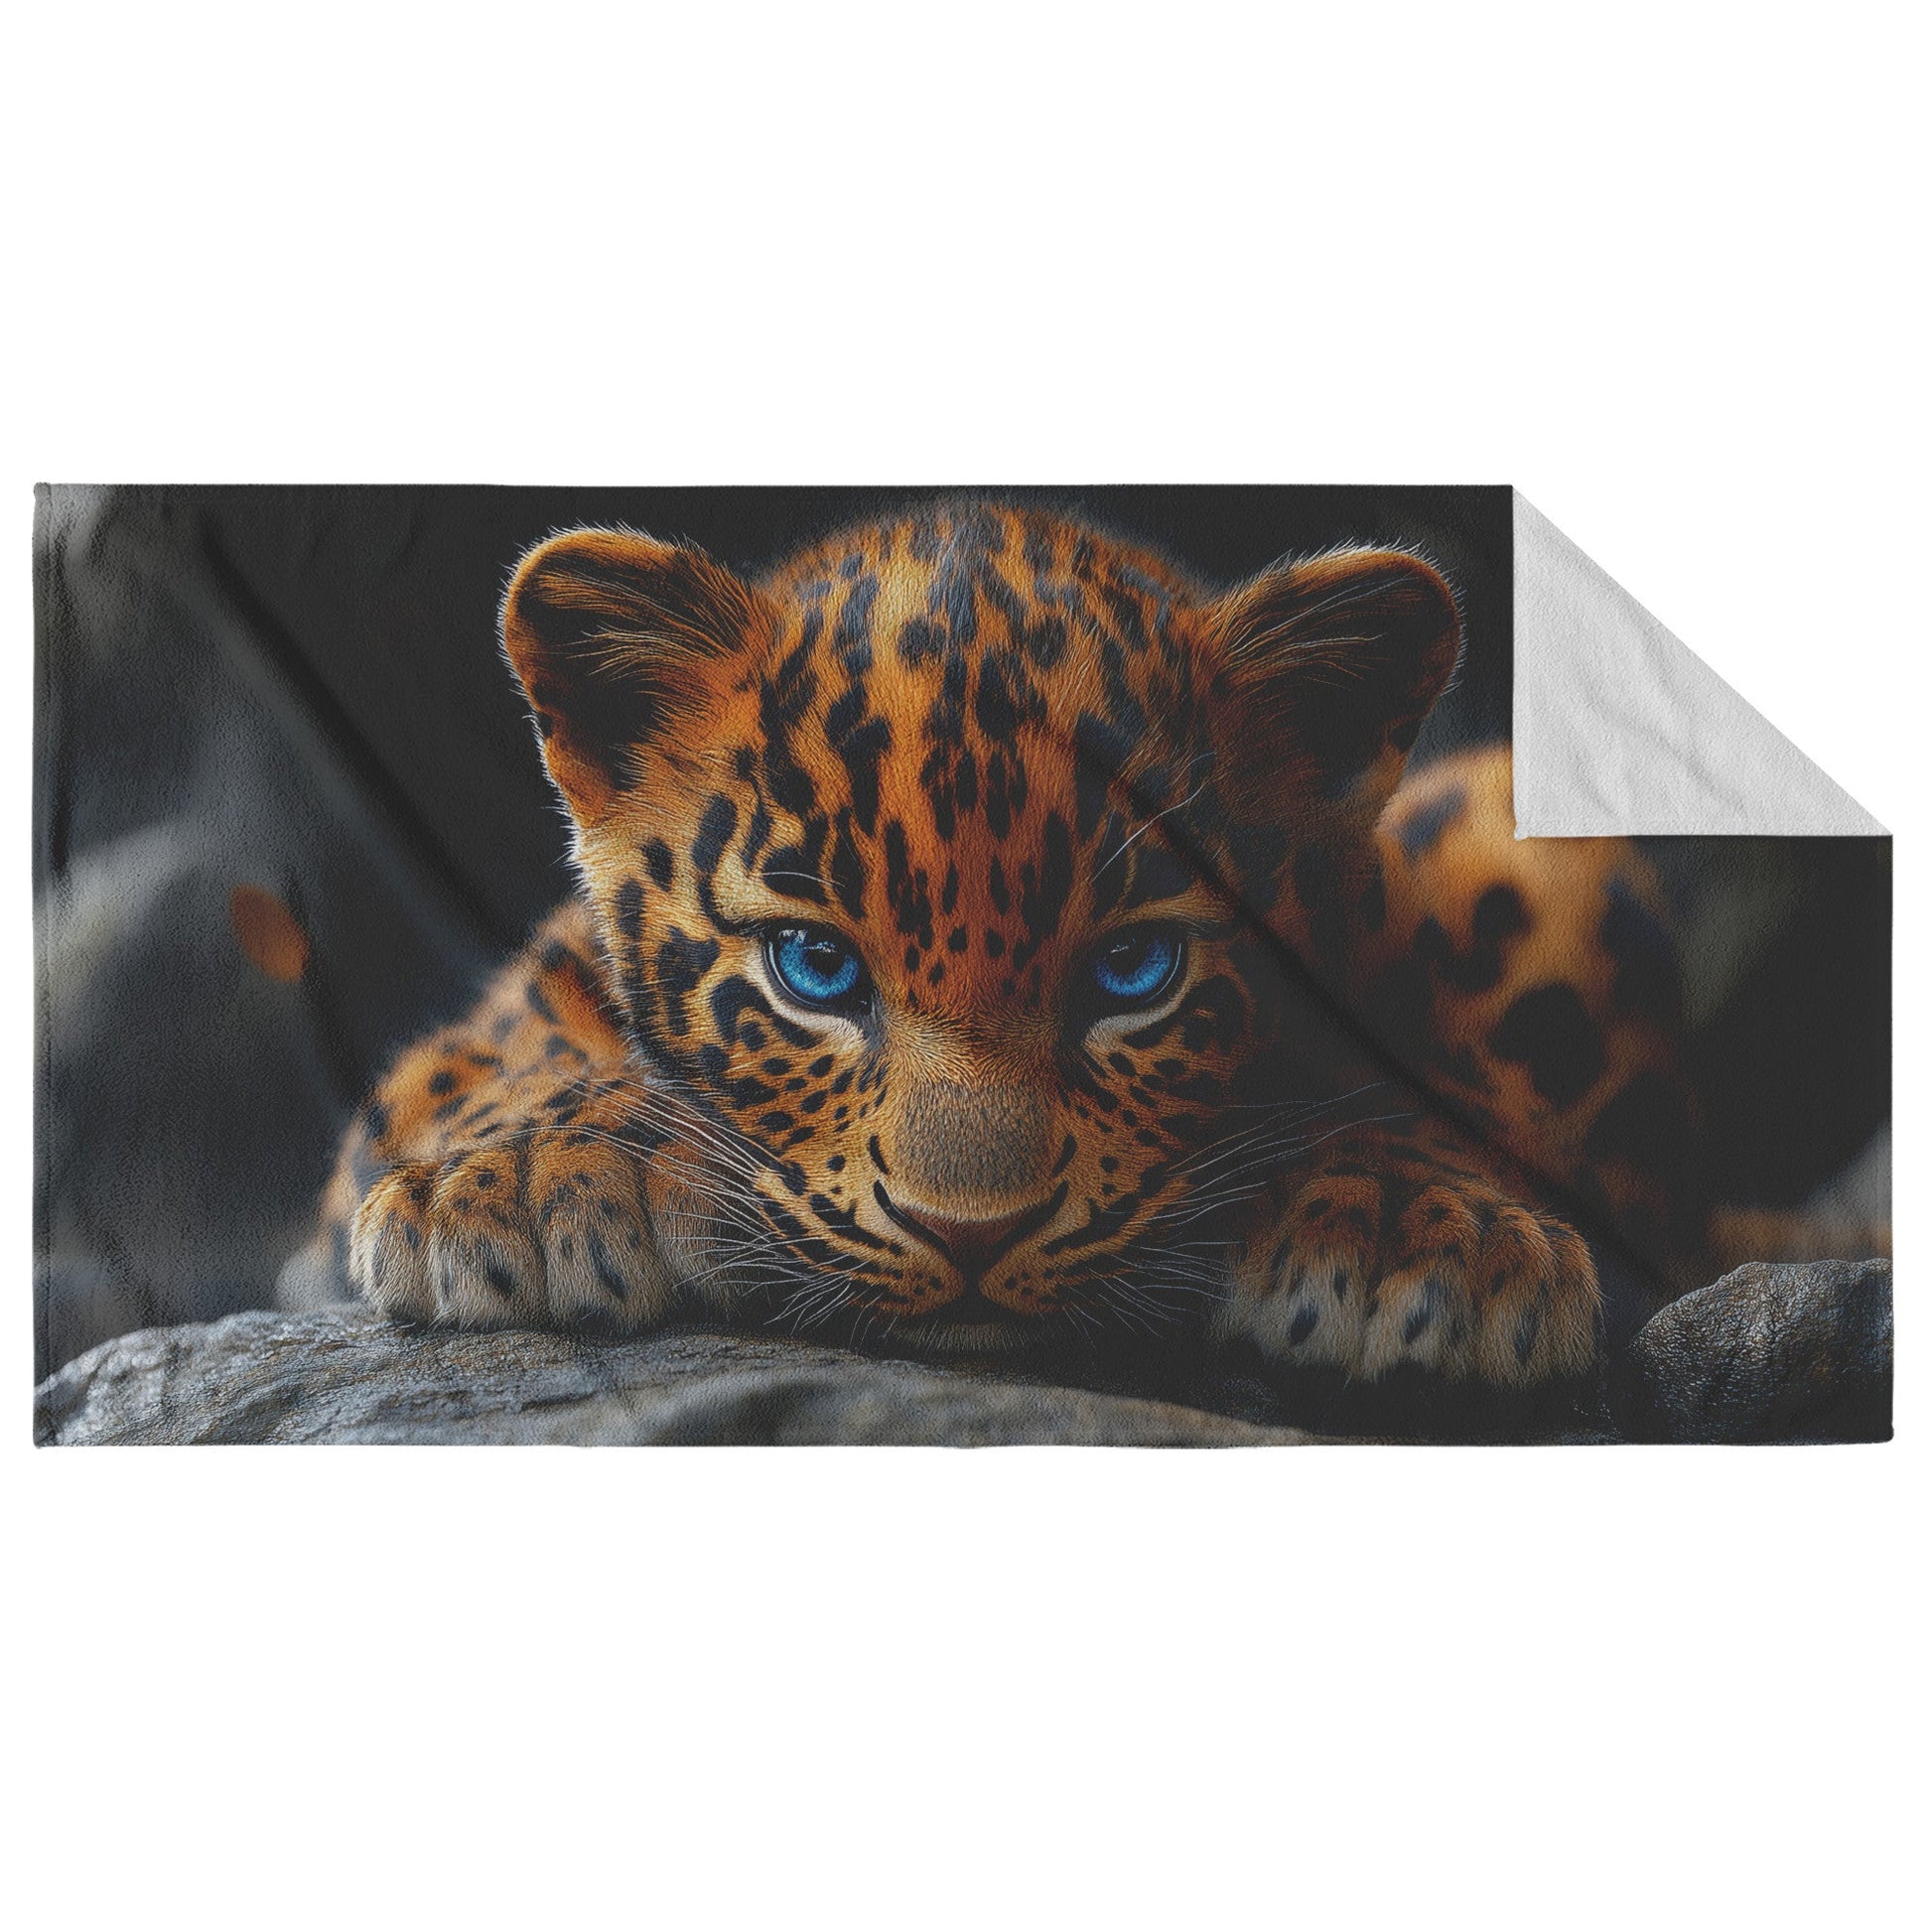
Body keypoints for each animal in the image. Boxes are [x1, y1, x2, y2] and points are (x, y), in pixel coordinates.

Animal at [286, 500, 1718, 1430]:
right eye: (813, 967)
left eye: (1134, 972)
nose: (965, 1235)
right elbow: (526, 1052)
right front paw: (534, 1177)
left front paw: (1411, 1229)